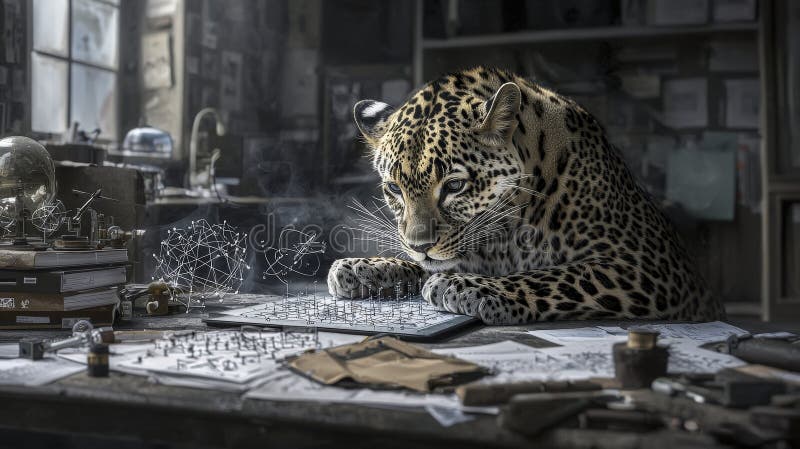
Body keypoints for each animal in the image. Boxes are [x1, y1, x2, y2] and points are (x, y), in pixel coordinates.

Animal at [327, 67, 724, 325]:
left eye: (454, 186)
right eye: (394, 188)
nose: (419, 244)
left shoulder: (647, 265)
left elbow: (557, 276)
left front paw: (469, 287)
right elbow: (425, 265)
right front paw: (364, 268)